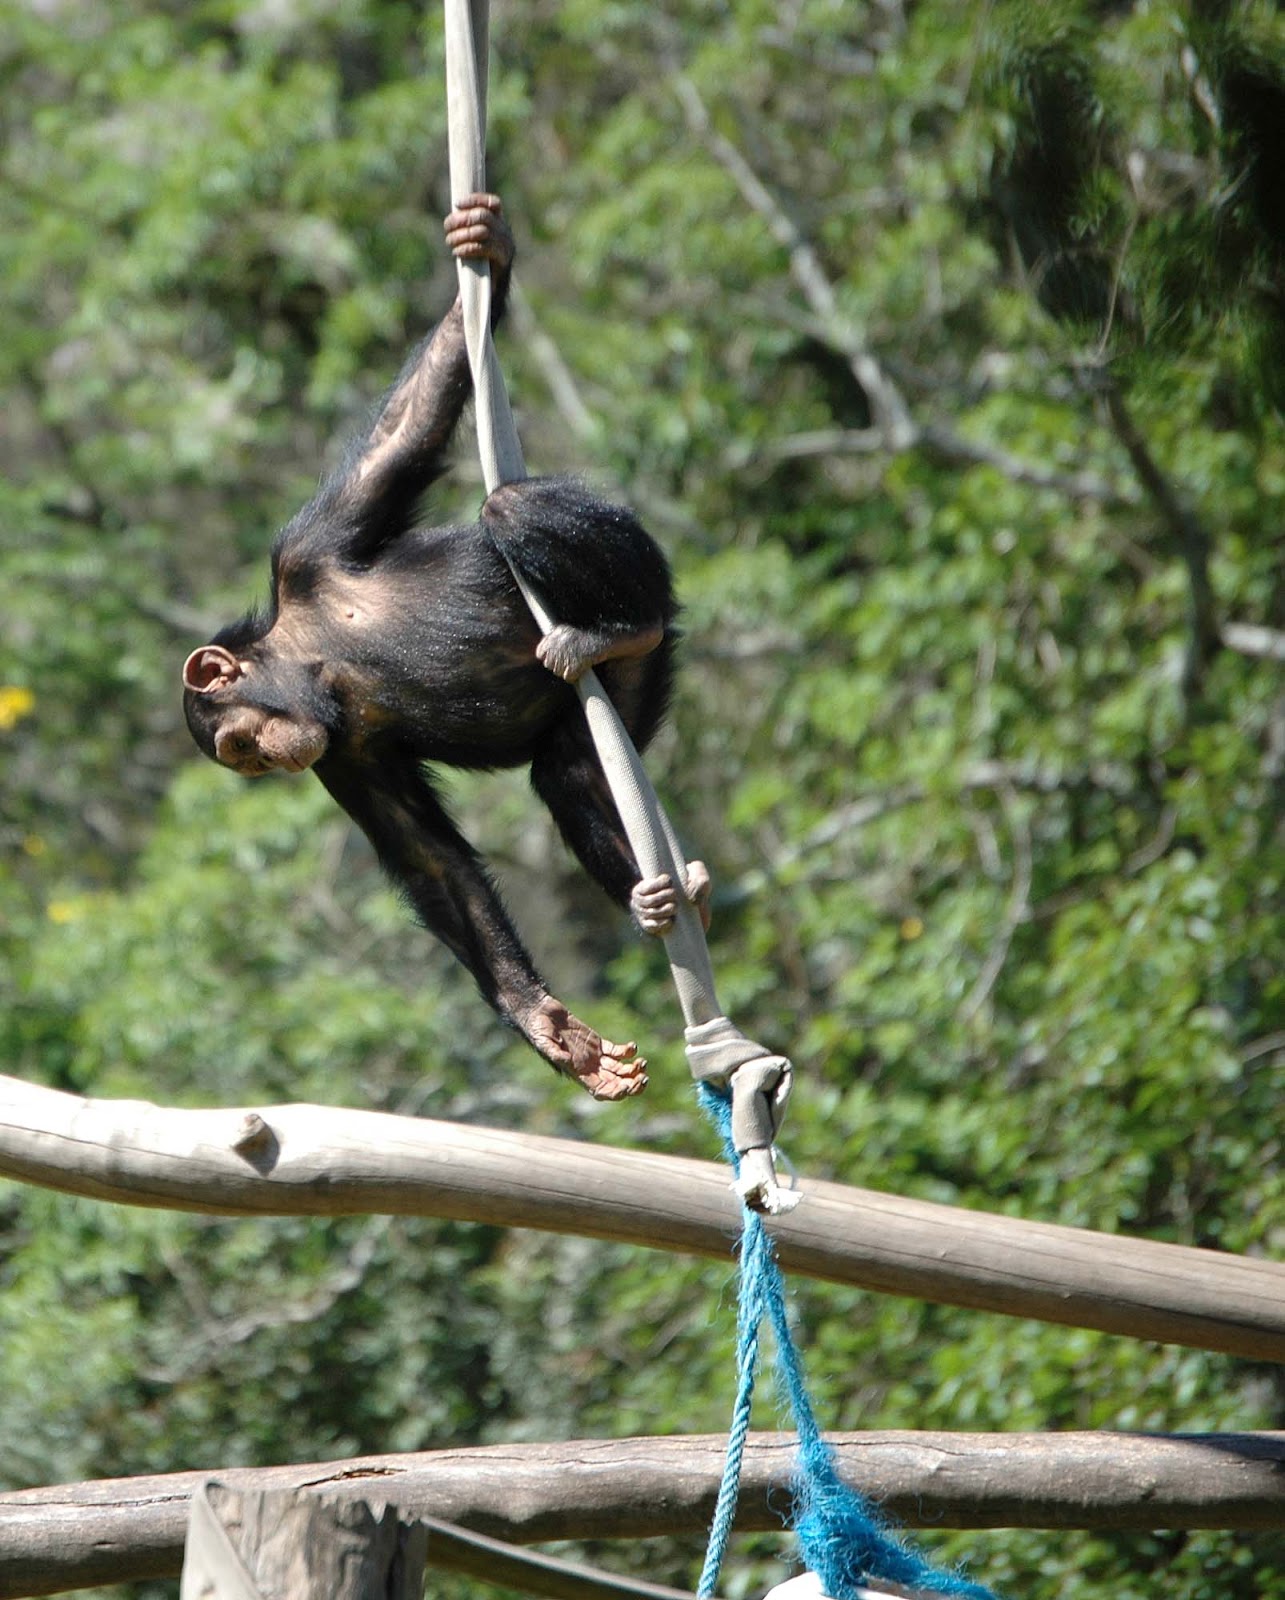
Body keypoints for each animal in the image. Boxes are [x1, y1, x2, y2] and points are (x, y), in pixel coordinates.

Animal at [182, 194, 709, 1102]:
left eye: (239, 745)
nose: (268, 761)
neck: (313, 662)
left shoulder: (310, 548)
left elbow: (408, 426)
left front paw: (487, 247)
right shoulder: (344, 758)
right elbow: (435, 866)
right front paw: (552, 1032)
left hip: (634, 558)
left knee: (510, 511)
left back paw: (617, 619)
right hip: (634, 687)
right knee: (571, 775)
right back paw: (658, 898)